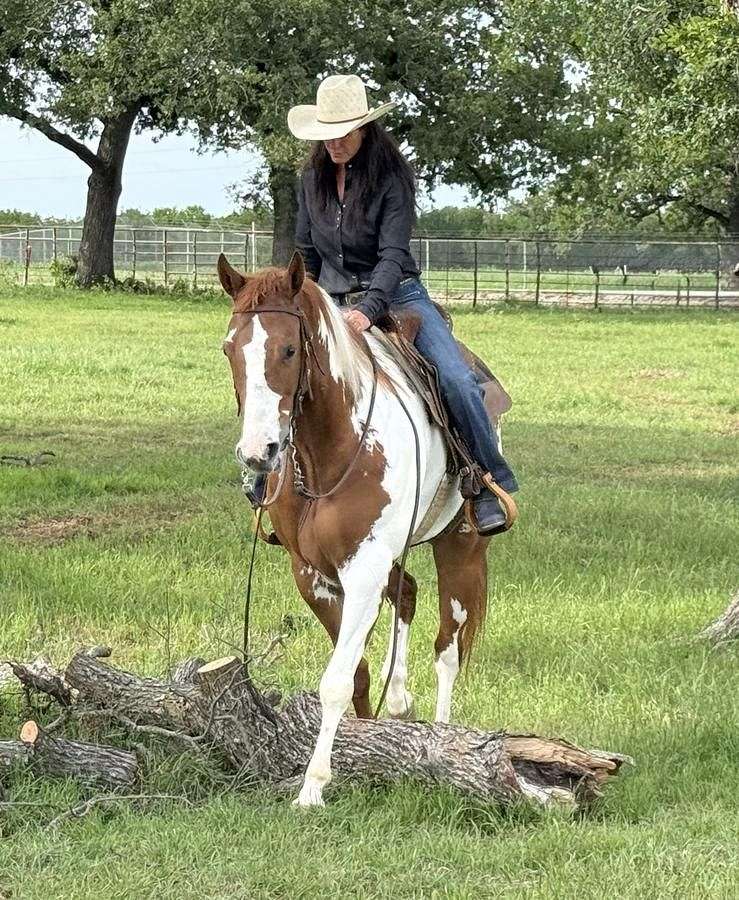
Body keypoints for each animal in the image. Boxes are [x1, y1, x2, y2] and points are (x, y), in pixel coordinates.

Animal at [219, 251, 492, 808]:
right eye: (229, 348)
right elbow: (359, 672)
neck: (333, 451)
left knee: (448, 648)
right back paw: (401, 703)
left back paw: (443, 739)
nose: (258, 453)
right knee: (407, 594)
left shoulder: (363, 571)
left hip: (460, 545)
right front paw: (365, 748)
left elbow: (337, 682)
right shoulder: (314, 574)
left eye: (288, 348)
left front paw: (313, 787)